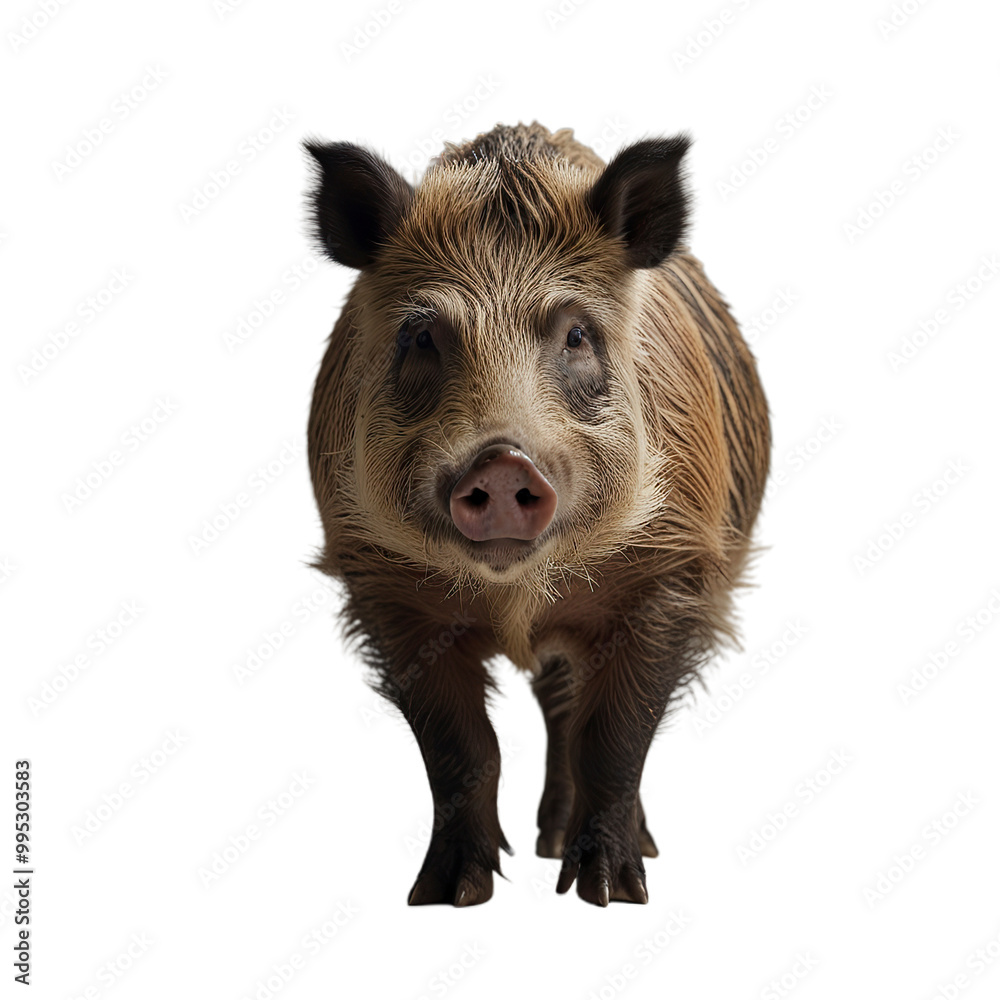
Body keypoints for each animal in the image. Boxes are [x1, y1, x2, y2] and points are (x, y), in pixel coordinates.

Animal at [302, 121, 770, 907]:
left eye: (576, 335)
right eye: (422, 336)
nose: (501, 459)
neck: (517, 595)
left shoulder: (675, 569)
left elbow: (613, 737)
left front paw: (609, 894)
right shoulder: (381, 585)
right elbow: (460, 750)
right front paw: (446, 896)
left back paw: (584, 851)